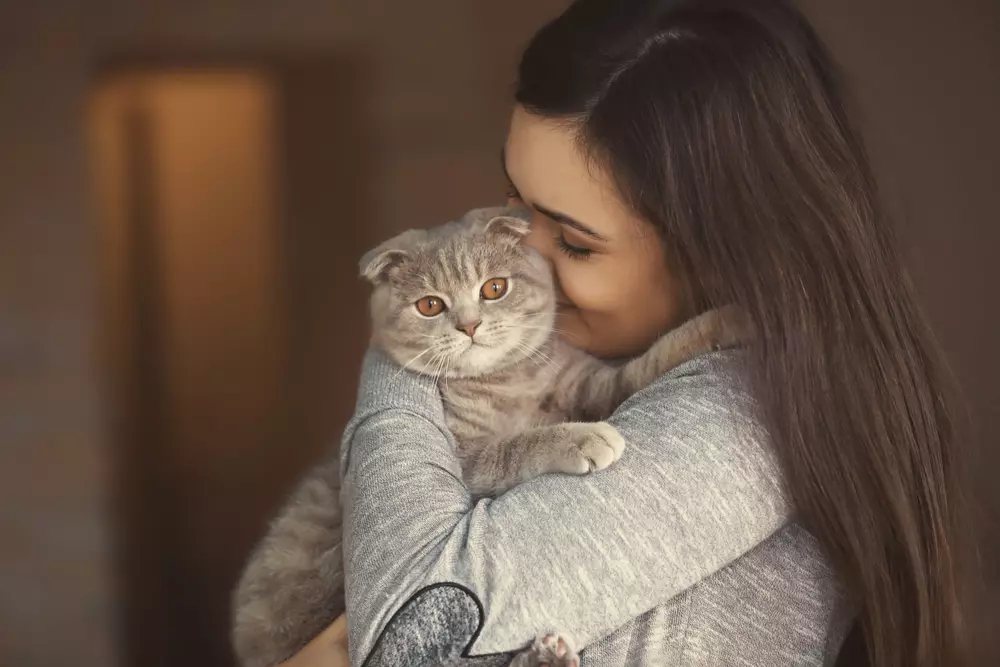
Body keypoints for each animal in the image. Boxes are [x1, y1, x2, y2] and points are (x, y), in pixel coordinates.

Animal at [230, 205, 748, 667]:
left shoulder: (596, 384)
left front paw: (726, 320)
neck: (505, 383)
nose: (469, 325)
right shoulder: (466, 463)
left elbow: (649, 362)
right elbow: (515, 447)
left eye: (494, 288)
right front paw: (582, 439)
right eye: (431, 305)